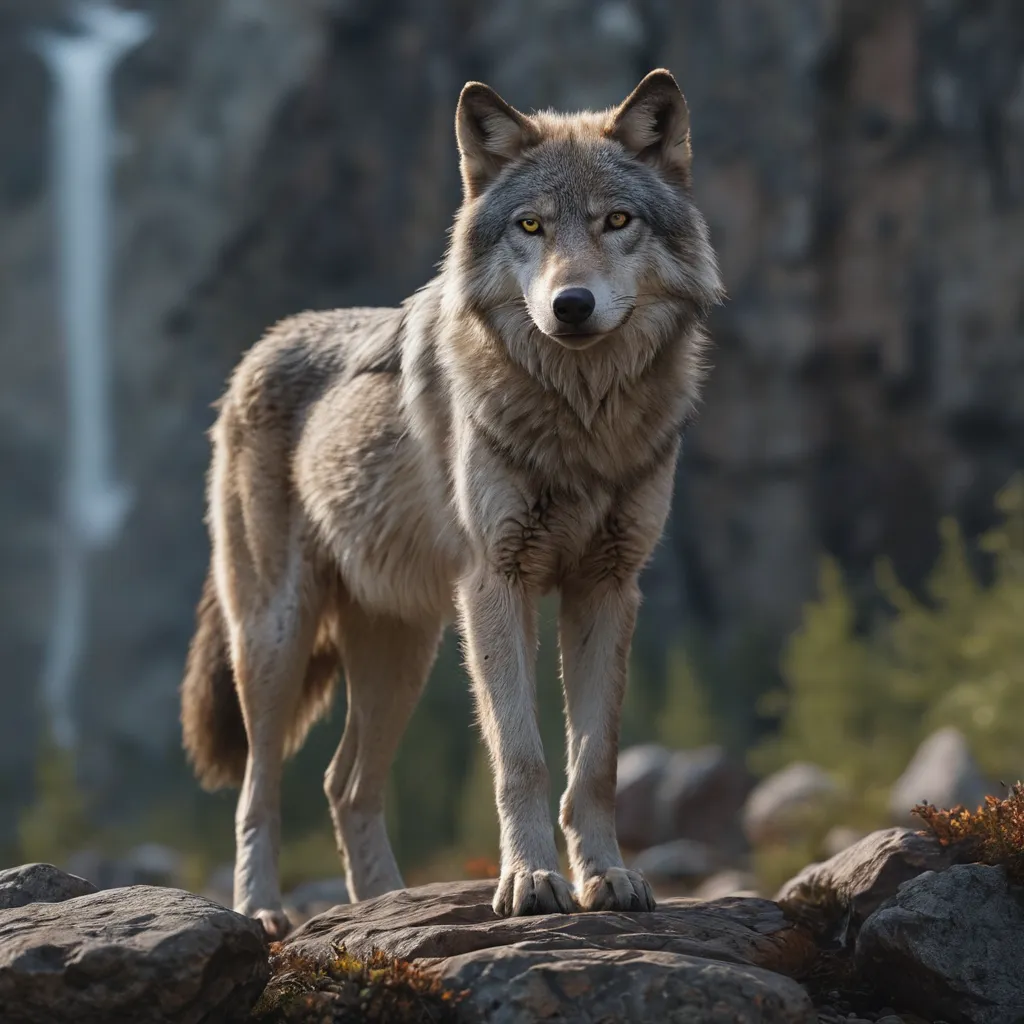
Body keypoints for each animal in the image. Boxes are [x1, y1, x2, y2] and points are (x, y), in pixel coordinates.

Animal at [180, 68, 724, 938]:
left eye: (617, 221)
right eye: (531, 225)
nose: (571, 305)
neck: (580, 420)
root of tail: (259, 349)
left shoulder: (607, 586)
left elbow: (595, 762)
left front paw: (606, 878)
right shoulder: (498, 582)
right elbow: (522, 755)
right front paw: (532, 881)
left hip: (406, 647)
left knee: (344, 784)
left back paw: (382, 910)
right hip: (277, 640)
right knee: (258, 790)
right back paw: (263, 912)